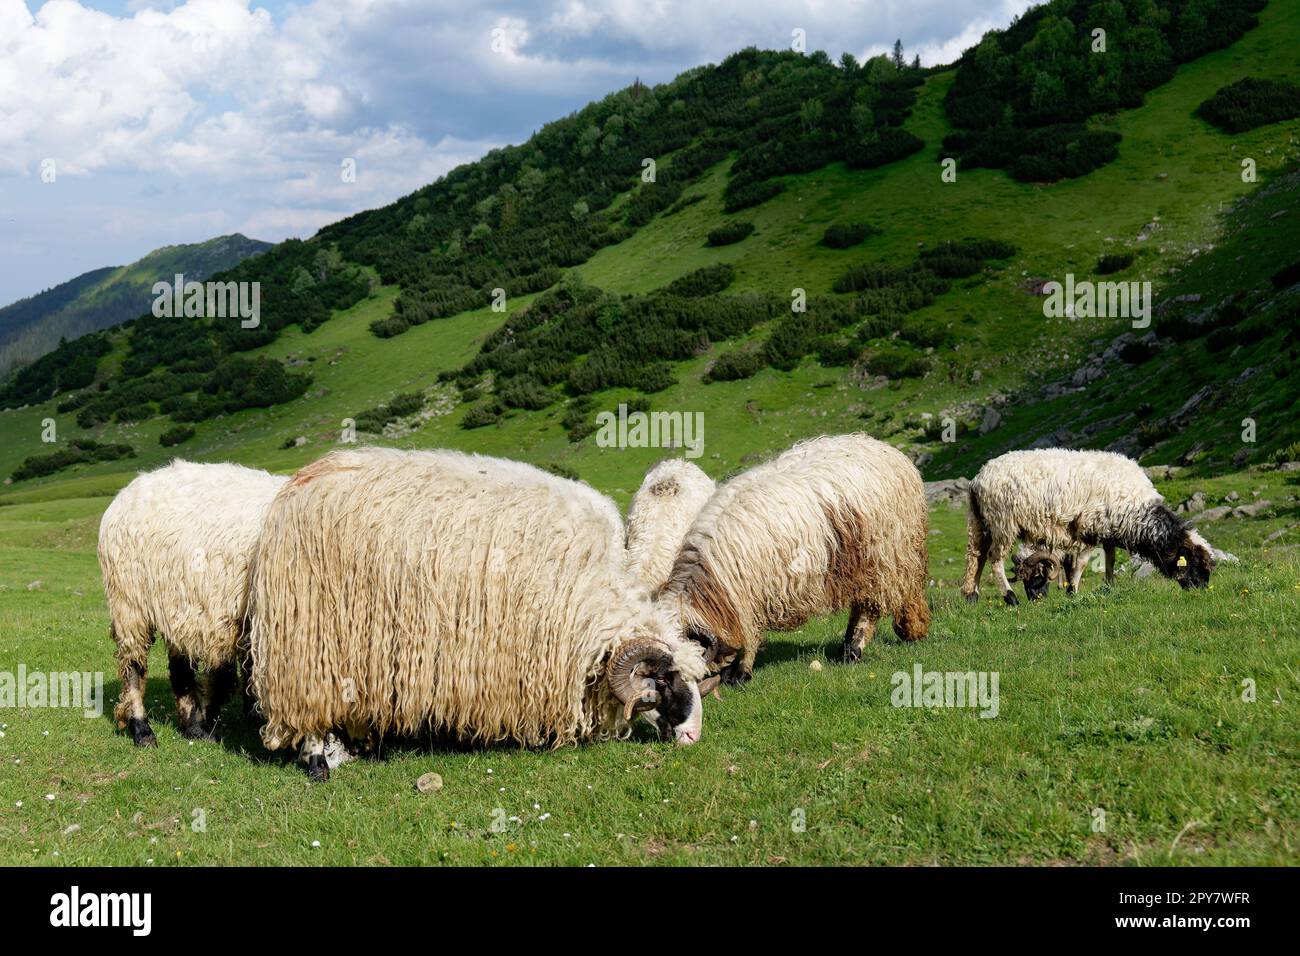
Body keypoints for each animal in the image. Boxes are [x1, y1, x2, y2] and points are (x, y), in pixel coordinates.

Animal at [98, 460, 287, 747]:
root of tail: (126, 492)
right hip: (130, 601)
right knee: (134, 666)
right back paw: (143, 730)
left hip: (179, 603)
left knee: (181, 666)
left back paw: (196, 725)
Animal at [656, 433, 931, 686]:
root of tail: (891, 452)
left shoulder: (748, 600)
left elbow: (749, 636)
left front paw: (739, 674)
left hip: (883, 555)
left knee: (869, 608)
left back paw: (853, 651)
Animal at [962, 448, 1214, 605]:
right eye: (1194, 562)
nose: (1203, 589)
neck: (1138, 512)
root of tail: (978, 479)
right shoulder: (1087, 528)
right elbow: (1082, 563)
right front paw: (1073, 591)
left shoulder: (1108, 530)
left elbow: (1110, 559)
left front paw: (1110, 585)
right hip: (1003, 521)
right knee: (994, 558)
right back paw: (1010, 597)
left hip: (981, 520)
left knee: (976, 556)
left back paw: (971, 595)